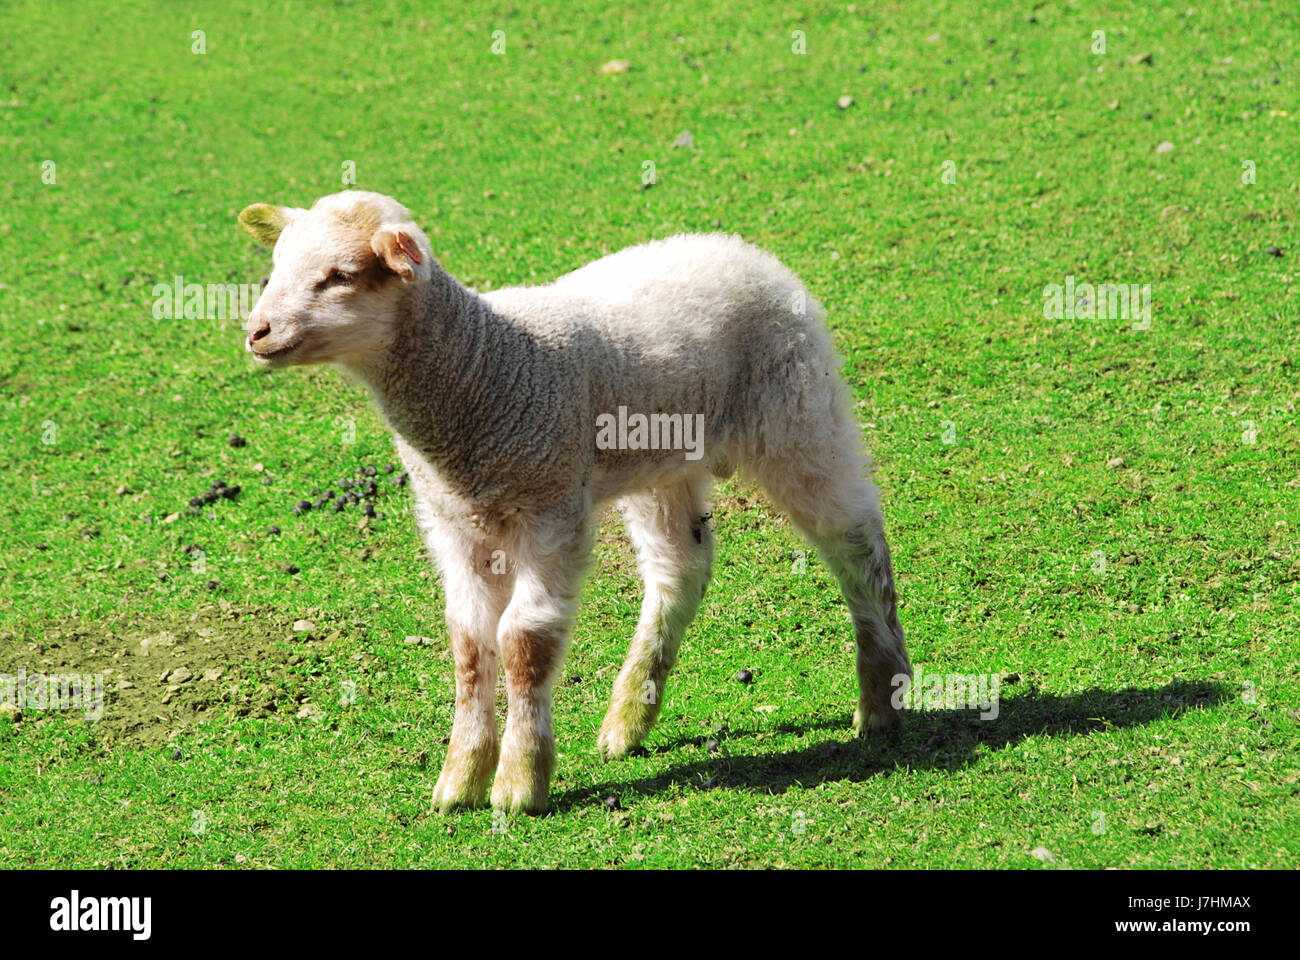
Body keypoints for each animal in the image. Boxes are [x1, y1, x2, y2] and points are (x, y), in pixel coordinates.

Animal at [238, 190, 911, 814]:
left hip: (798, 413)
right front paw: (460, 779)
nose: (256, 332)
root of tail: (739, 248)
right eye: (275, 266)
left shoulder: (550, 508)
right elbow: (469, 644)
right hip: (661, 462)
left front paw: (518, 782)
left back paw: (883, 696)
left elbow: (523, 641)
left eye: (339, 275)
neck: (485, 366)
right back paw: (629, 718)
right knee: (679, 568)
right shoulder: (453, 522)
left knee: (857, 541)